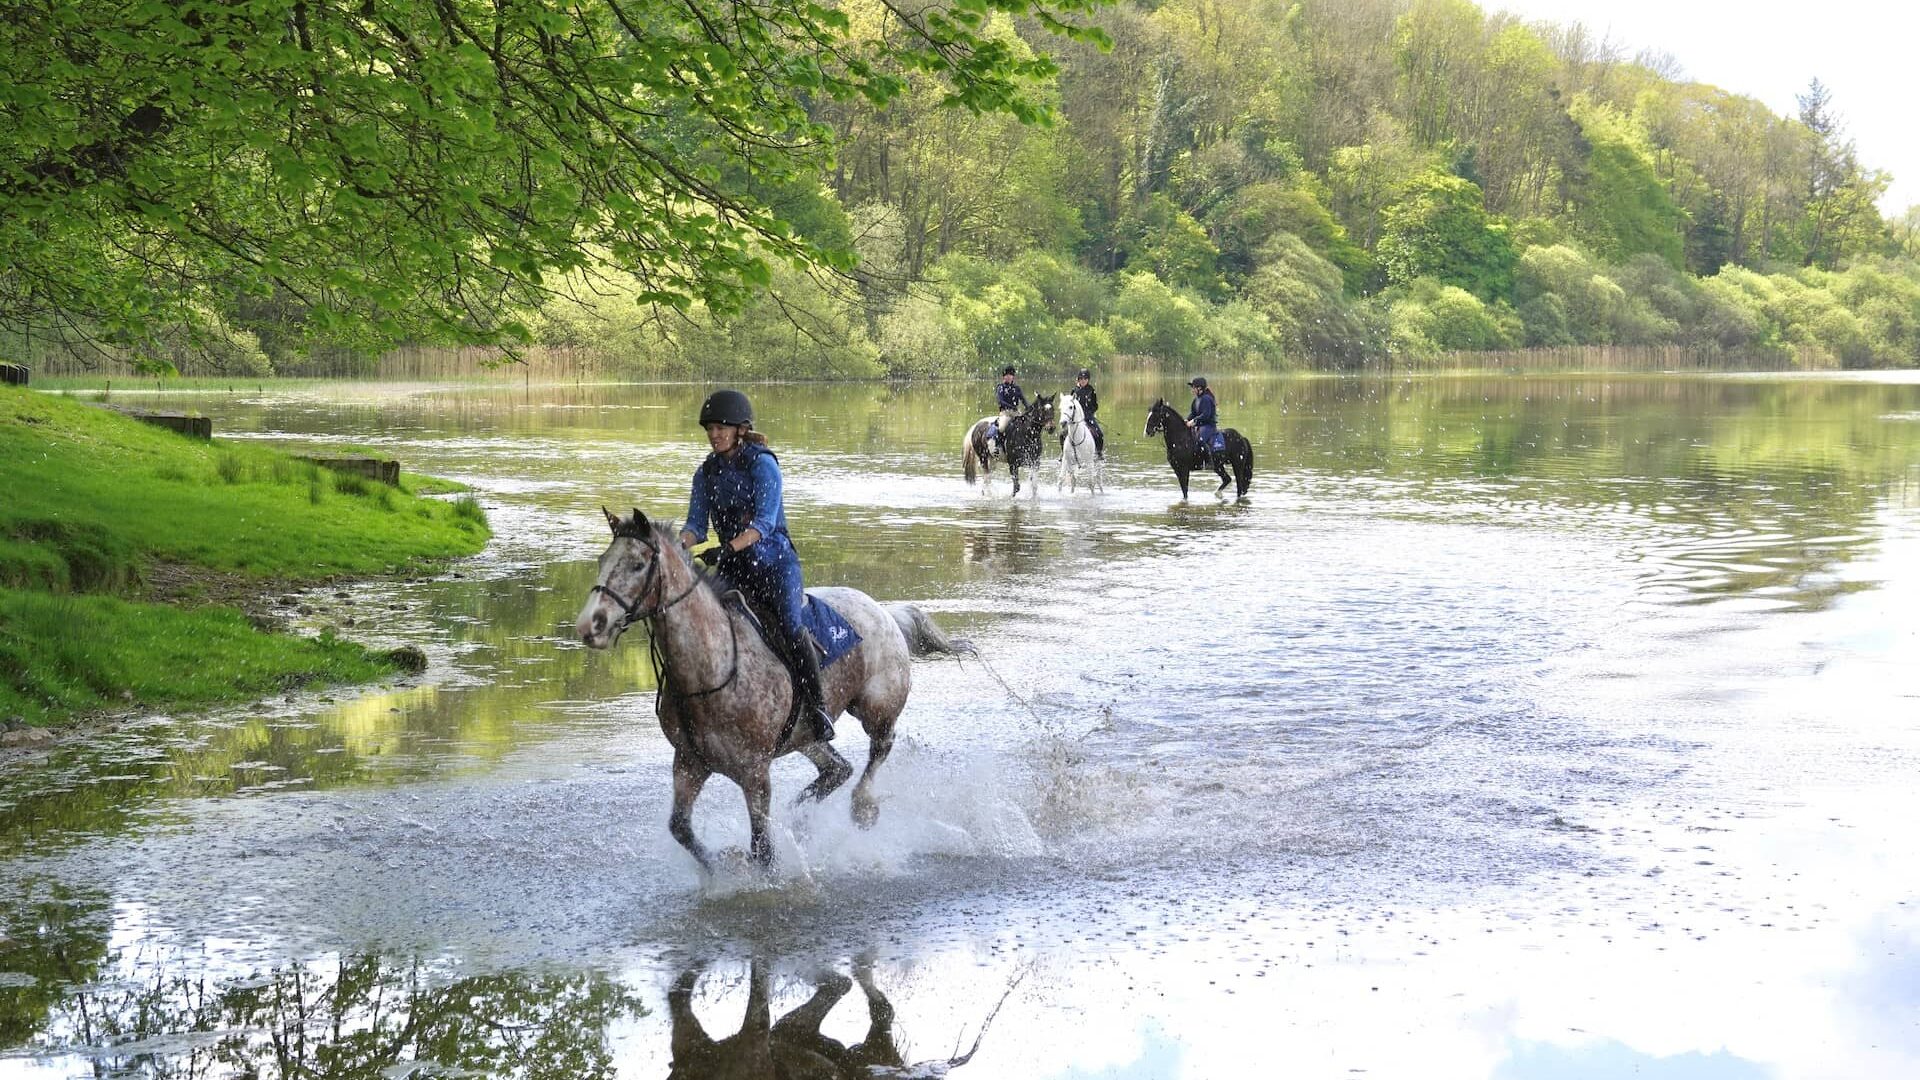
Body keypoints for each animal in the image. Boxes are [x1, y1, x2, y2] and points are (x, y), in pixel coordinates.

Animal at [576, 508, 959, 870]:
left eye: (638, 565)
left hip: (876, 709)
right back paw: (801, 821)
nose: (589, 625)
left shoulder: (755, 773)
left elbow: (763, 850)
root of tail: (885, 612)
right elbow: (681, 829)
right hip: (805, 735)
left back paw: (862, 807)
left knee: (879, 748)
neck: (712, 667)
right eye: (601, 561)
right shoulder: (688, 763)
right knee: (837, 769)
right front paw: (722, 868)